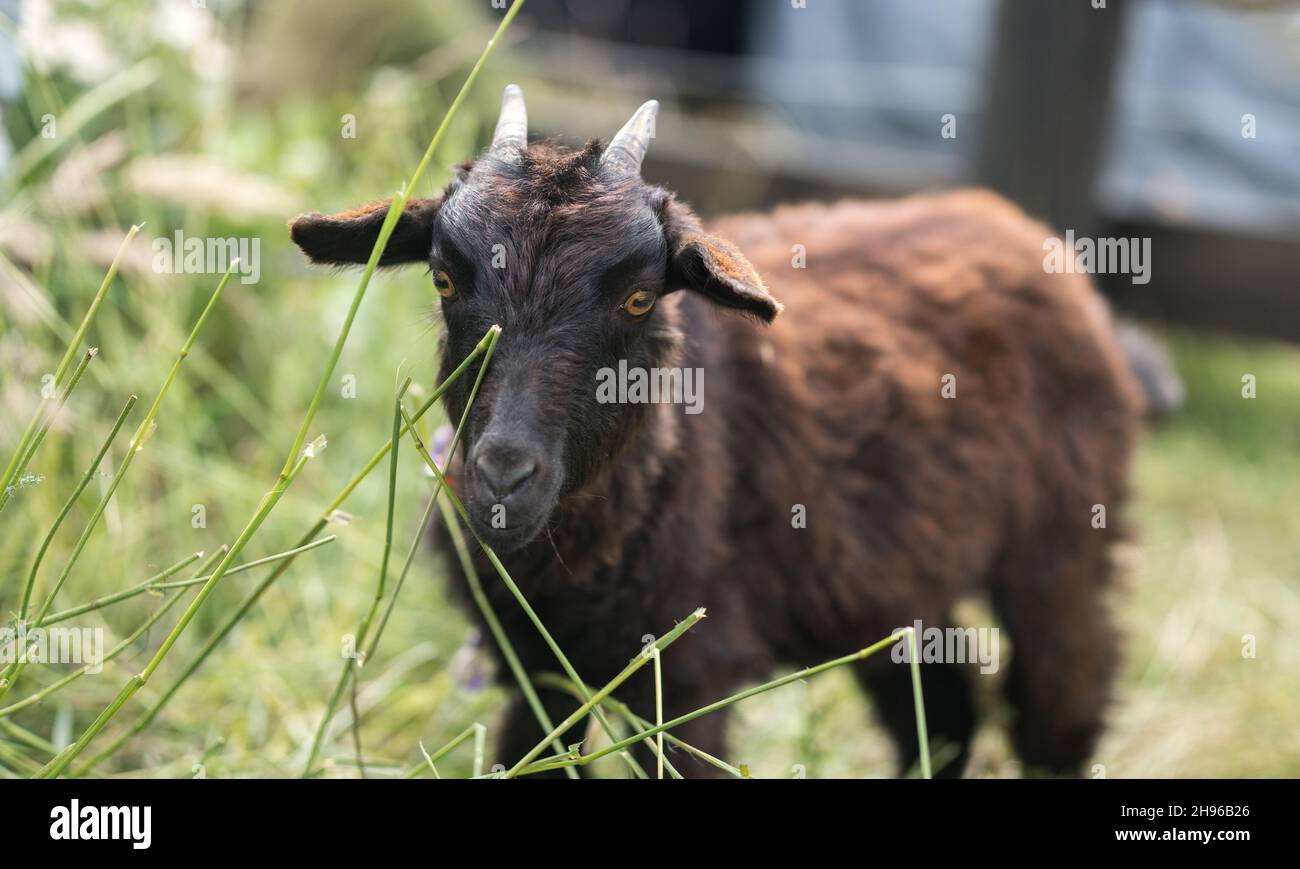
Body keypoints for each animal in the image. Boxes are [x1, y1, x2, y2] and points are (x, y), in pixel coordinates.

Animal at [290, 85, 1158, 778]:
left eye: (639, 297)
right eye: (445, 278)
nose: (504, 475)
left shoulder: (689, 670)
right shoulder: (532, 668)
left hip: (1062, 550)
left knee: (1062, 705)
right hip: (897, 574)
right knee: (942, 713)